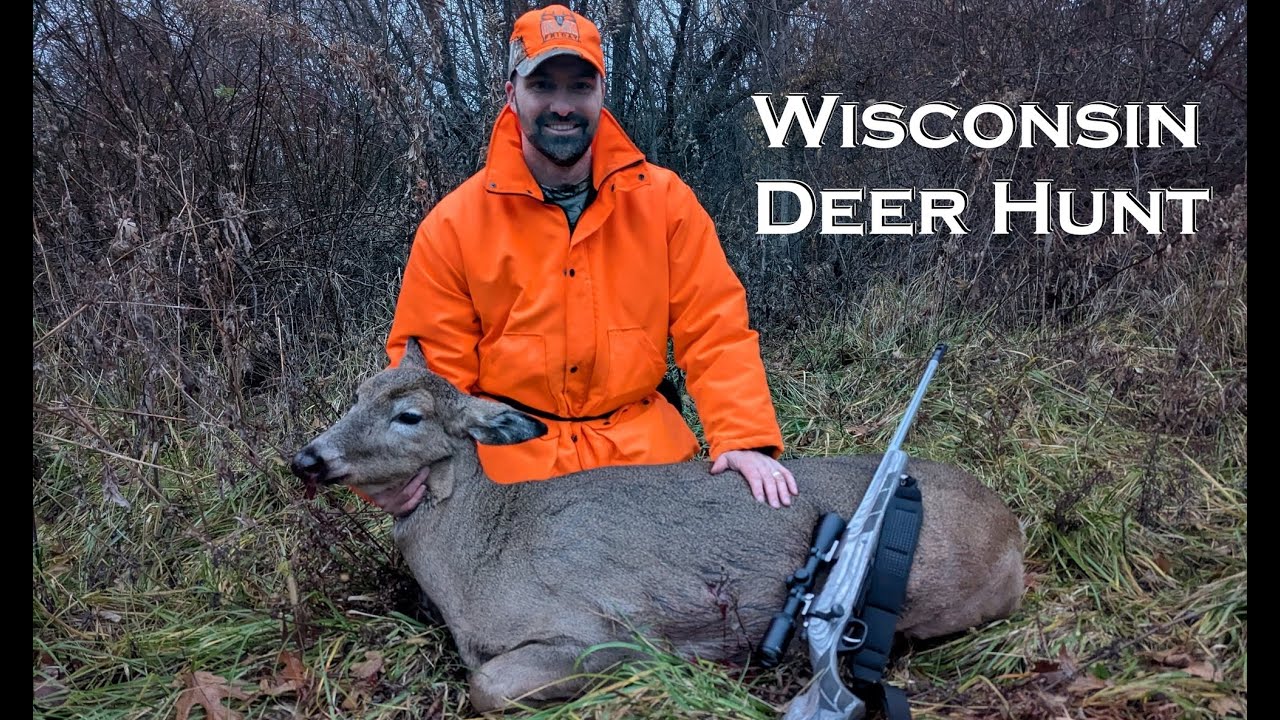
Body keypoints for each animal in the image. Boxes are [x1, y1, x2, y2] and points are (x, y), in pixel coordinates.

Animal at [291, 339, 1025, 712]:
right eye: (355, 394)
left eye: (408, 415)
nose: (308, 457)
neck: (480, 554)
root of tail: (1014, 532)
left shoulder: (601, 627)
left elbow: (487, 687)